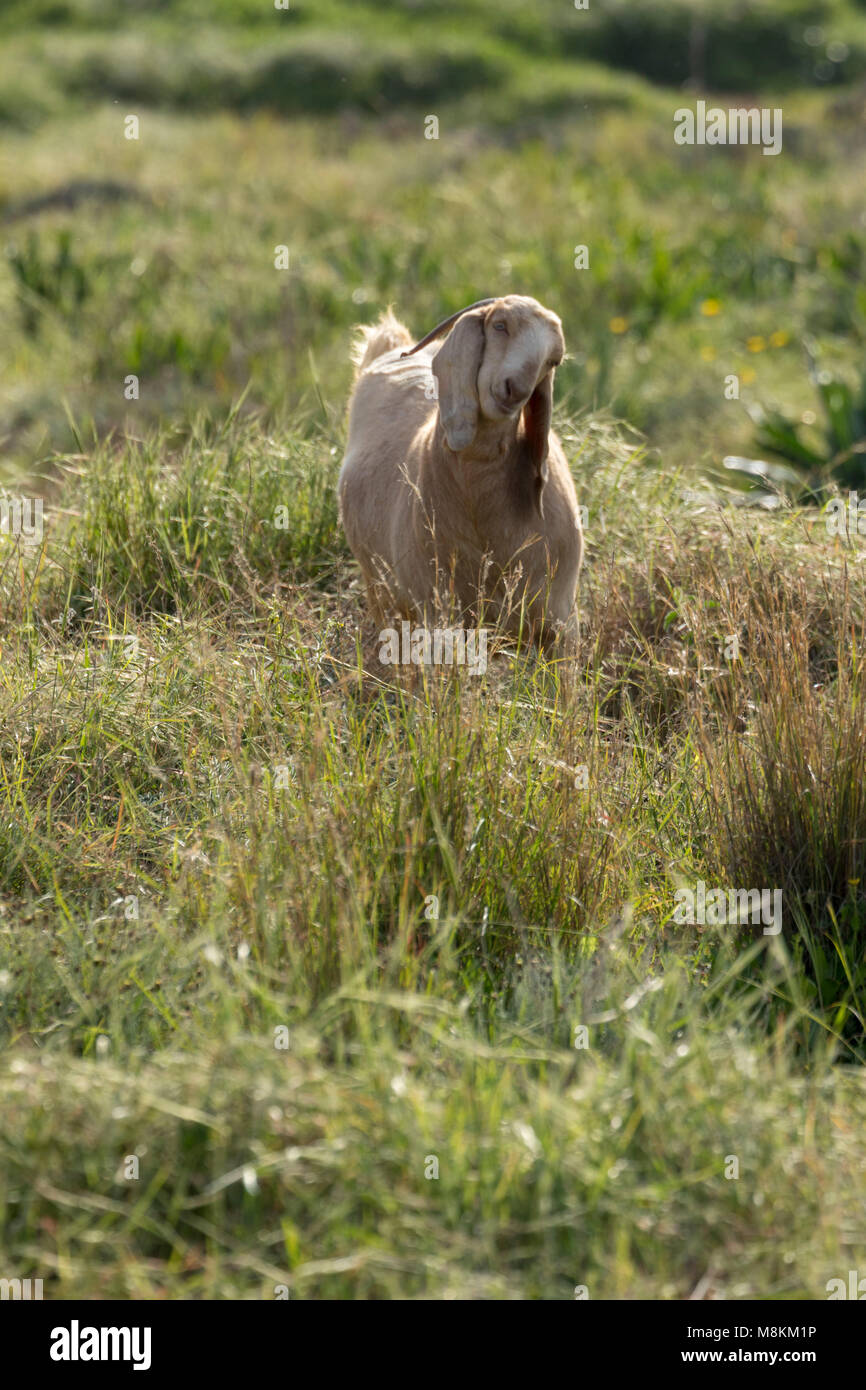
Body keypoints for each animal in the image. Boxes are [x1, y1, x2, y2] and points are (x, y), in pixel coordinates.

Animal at [338, 295, 583, 646]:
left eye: (553, 361)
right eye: (499, 326)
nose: (515, 390)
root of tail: (389, 345)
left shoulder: (559, 620)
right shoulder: (438, 611)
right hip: (380, 588)